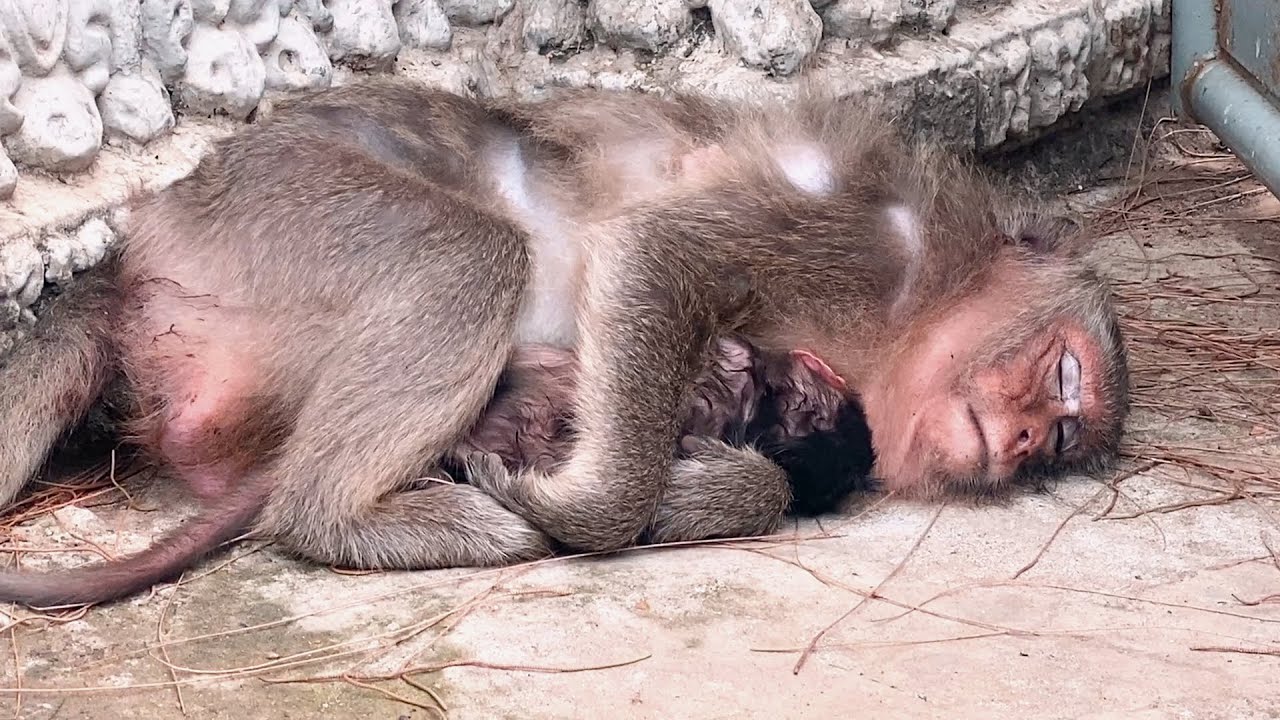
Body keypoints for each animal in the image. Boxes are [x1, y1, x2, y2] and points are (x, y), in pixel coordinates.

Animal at [0, 78, 1129, 608]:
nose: (1028, 441)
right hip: (278, 212)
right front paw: (601, 507)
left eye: (1063, 447)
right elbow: (656, 253)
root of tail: (142, 242)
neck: (919, 302)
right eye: (1064, 376)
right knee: (472, 254)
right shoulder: (859, 233)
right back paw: (350, 514)